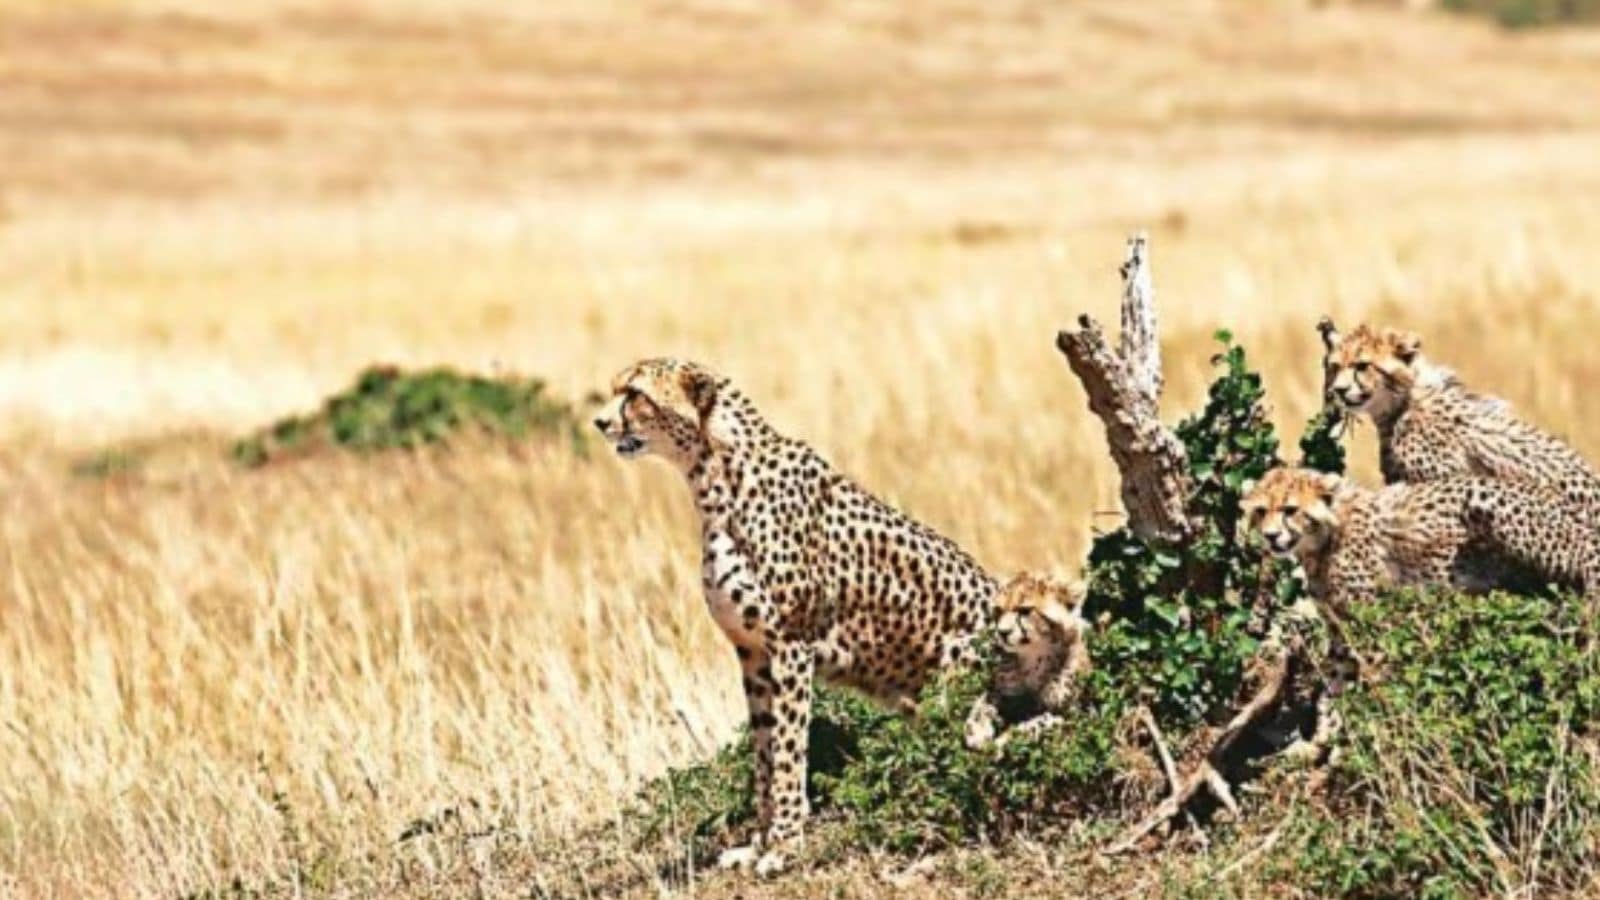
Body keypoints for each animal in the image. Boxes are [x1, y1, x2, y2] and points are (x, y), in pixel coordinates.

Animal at [592, 358, 998, 876]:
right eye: (615, 390)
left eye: (635, 394)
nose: (600, 422)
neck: (714, 478)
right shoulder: (752, 653)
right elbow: (764, 751)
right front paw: (759, 842)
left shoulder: (791, 646)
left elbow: (788, 751)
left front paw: (784, 846)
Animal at [963, 572, 1091, 750]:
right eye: (998, 610)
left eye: (1024, 610)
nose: (1002, 632)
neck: (1033, 658)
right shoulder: (1002, 689)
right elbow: (983, 701)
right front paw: (976, 727)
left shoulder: (1074, 713)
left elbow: (1038, 723)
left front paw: (1006, 740)